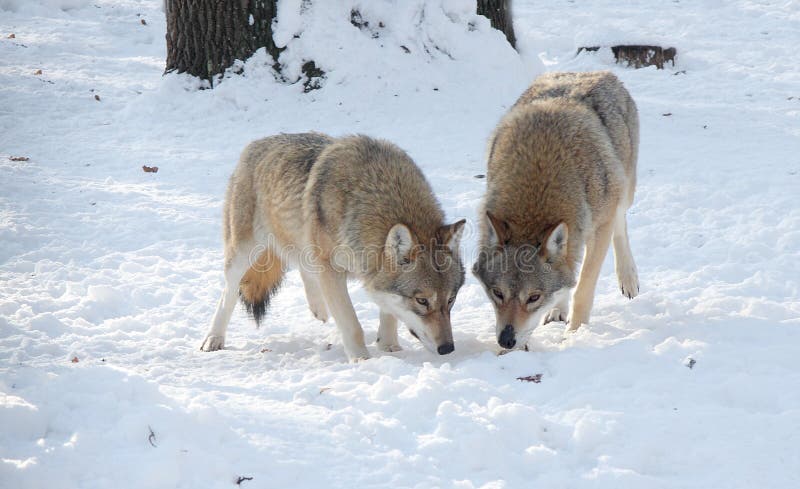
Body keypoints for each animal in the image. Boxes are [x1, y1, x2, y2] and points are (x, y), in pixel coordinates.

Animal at [200, 133, 466, 361]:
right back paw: (213, 339)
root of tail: (255, 144)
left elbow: (389, 310)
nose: (447, 348)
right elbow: (352, 324)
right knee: (229, 292)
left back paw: (319, 309)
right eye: (422, 301)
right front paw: (361, 359)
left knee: (305, 269)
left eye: (451, 300)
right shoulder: (332, 269)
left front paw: (389, 345)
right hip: (242, 254)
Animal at [473, 71, 640, 349]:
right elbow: (568, 280)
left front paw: (576, 334)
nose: (506, 340)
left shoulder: (601, 225)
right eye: (497, 293)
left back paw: (628, 278)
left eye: (534, 297)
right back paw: (558, 310)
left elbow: (583, 288)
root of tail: (598, 73)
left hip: (623, 190)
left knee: (621, 225)